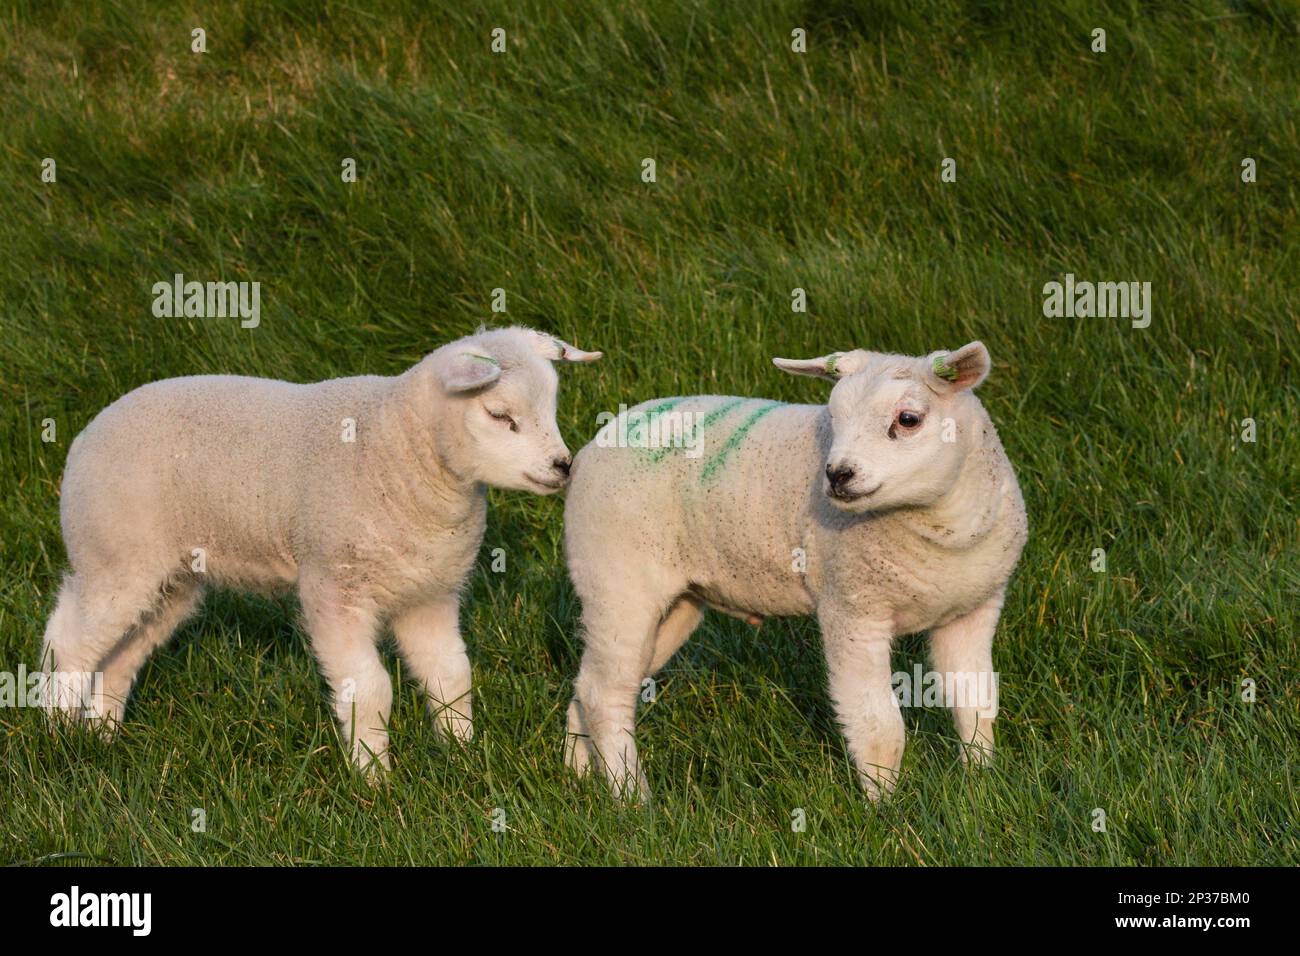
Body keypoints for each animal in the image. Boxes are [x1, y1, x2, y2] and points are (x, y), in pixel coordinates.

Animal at [40, 326, 601, 773]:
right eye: (500, 415)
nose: (563, 466)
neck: (398, 449)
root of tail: (86, 435)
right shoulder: (335, 588)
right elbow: (370, 688)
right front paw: (373, 776)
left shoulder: (428, 594)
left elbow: (451, 677)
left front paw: (462, 754)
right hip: (114, 554)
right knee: (69, 640)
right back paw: (59, 732)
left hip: (168, 580)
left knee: (119, 655)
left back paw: (101, 736)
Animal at [562, 341, 1027, 800]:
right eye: (833, 417)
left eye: (908, 419)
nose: (838, 475)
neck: (945, 531)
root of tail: (587, 452)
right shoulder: (852, 609)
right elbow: (879, 727)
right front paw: (885, 807)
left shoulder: (973, 611)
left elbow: (976, 702)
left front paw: (981, 781)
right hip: (616, 580)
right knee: (605, 693)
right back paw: (632, 797)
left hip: (674, 603)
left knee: (591, 684)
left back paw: (579, 773)